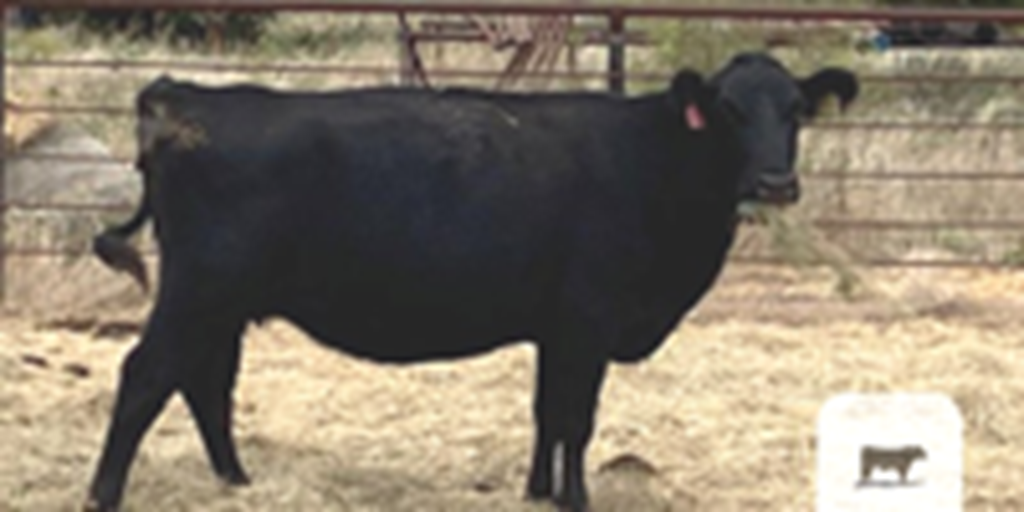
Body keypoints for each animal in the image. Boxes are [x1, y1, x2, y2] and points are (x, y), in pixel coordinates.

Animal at [83, 53, 858, 512]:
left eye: (796, 111)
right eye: (729, 111)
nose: (776, 182)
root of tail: (179, 95)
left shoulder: (557, 327)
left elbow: (547, 412)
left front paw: (538, 492)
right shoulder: (590, 318)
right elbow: (576, 419)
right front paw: (575, 500)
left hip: (223, 300)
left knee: (204, 379)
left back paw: (237, 481)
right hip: (201, 288)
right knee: (147, 375)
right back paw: (104, 494)